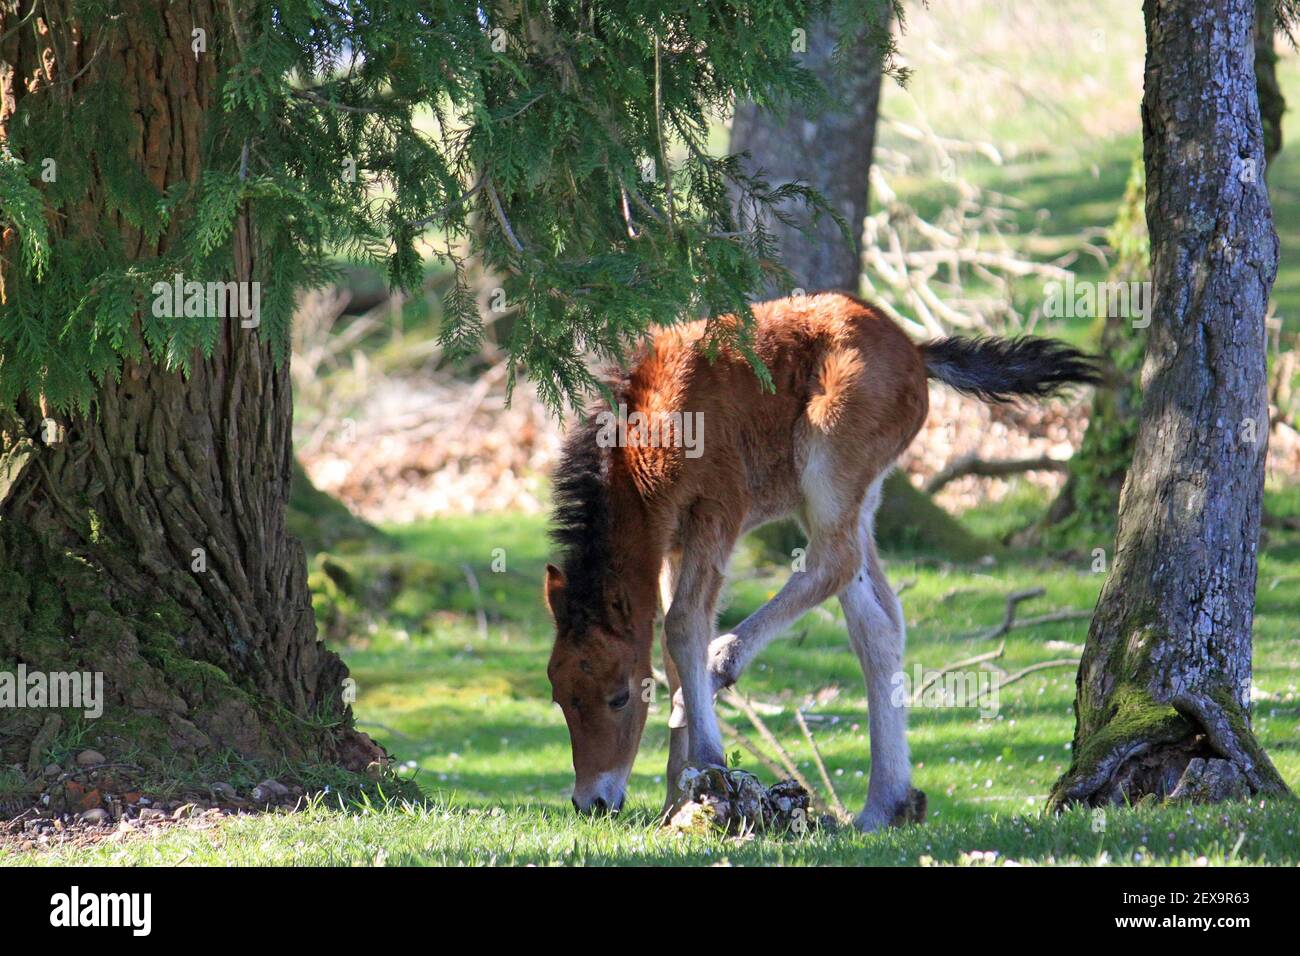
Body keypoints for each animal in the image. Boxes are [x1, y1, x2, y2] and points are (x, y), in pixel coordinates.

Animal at [544, 291, 1097, 831]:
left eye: (620, 695)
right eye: (559, 695)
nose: (592, 802)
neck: (645, 437)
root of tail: (913, 349)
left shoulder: (716, 512)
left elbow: (682, 627)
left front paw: (705, 757)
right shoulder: (672, 544)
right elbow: (672, 644)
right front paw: (675, 797)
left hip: (826, 464)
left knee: (835, 562)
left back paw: (726, 664)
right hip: (851, 497)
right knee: (877, 619)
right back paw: (886, 805)